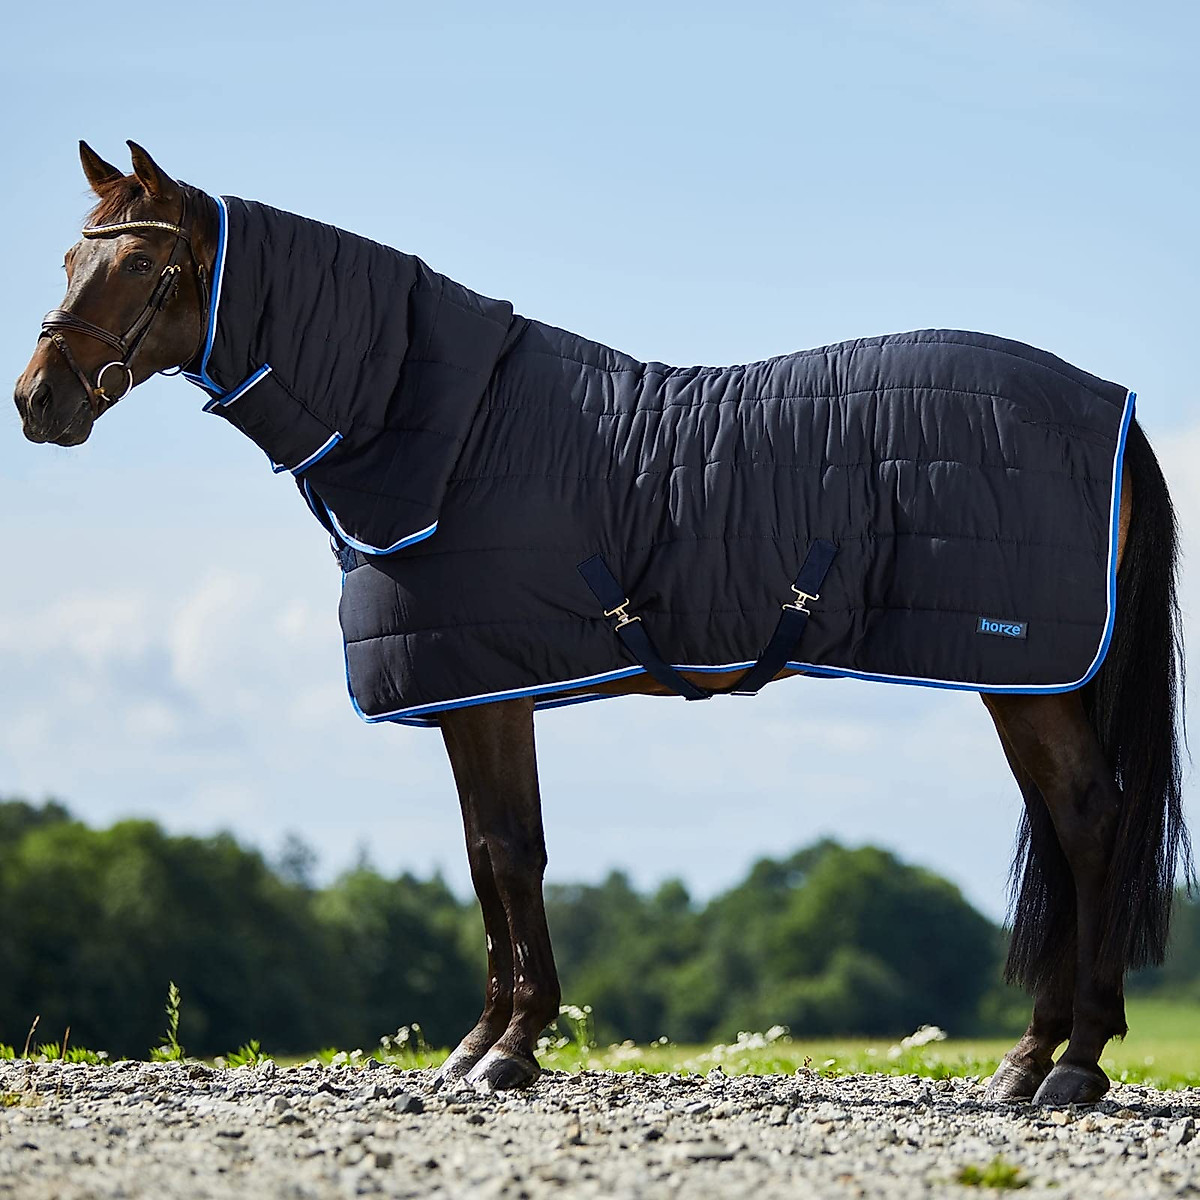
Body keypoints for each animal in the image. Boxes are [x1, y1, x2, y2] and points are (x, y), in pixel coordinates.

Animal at [13, 141, 1191, 1104]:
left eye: (139, 266)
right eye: (72, 260)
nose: (37, 403)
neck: (439, 429)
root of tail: (1109, 405)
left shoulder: (485, 691)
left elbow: (508, 852)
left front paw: (508, 1049)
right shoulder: (475, 689)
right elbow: (487, 856)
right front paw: (479, 1045)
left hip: (1023, 678)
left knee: (1087, 821)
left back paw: (1073, 1065)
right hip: (1035, 681)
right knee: (1065, 831)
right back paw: (1029, 1061)